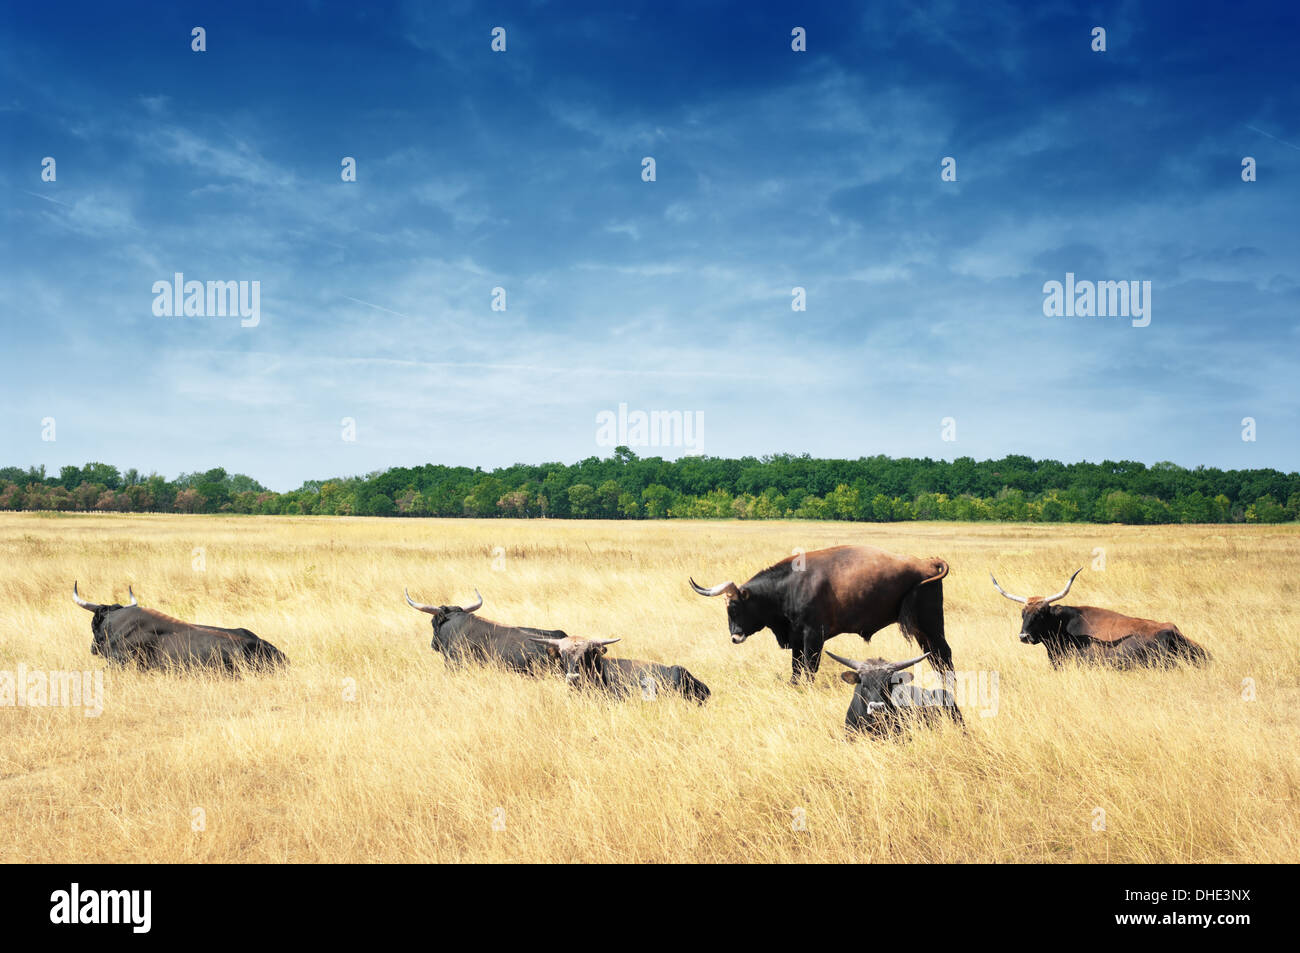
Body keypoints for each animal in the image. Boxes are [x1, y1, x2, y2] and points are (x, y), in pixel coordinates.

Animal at [690, 544, 952, 681]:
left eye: (734, 607)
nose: (735, 637)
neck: (789, 586)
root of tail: (927, 563)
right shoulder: (797, 638)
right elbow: (796, 669)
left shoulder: (814, 636)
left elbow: (809, 668)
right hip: (922, 631)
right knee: (935, 658)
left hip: (931, 625)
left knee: (944, 655)